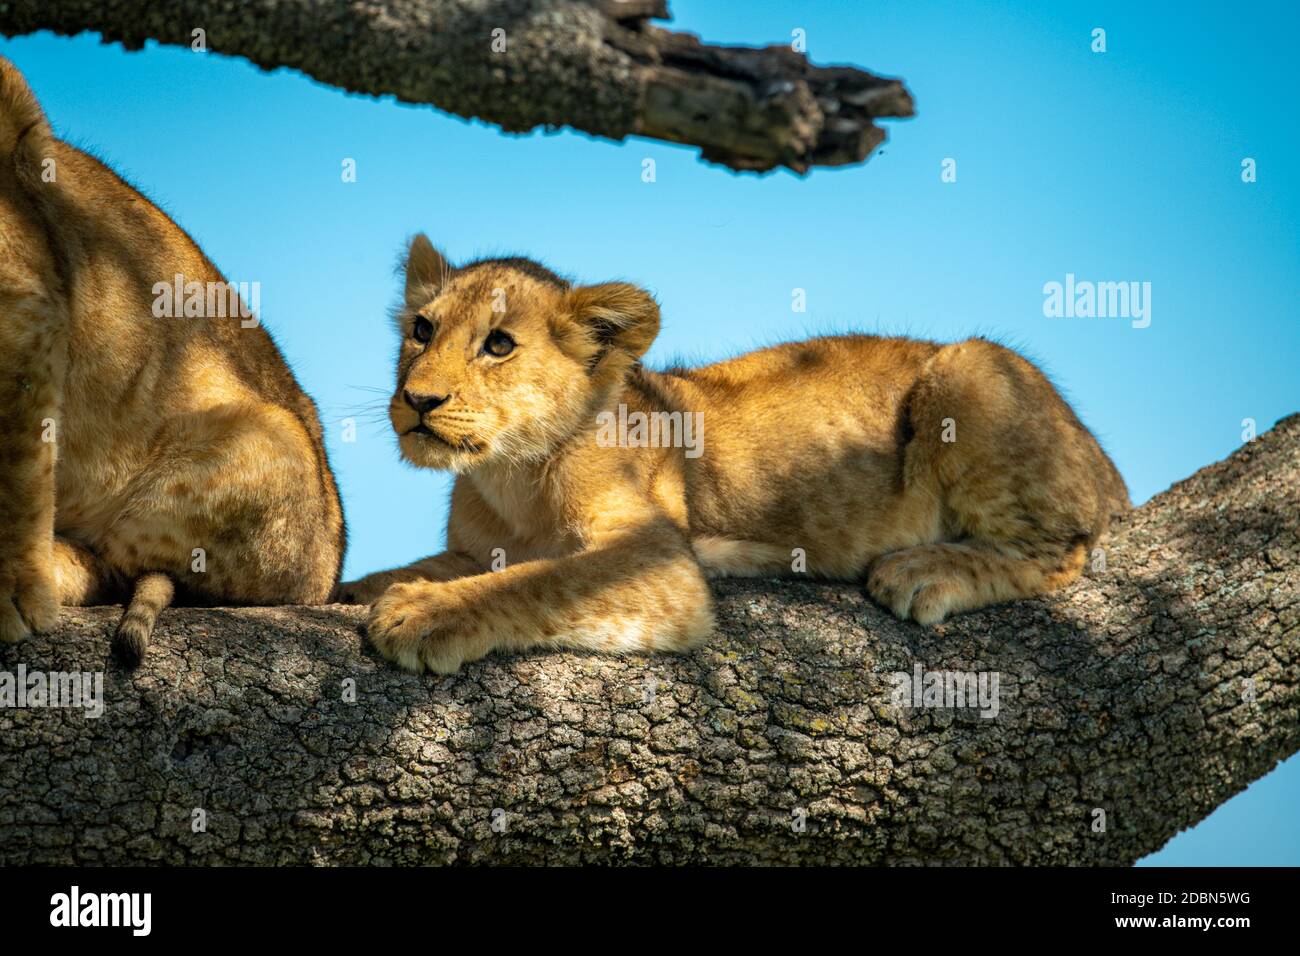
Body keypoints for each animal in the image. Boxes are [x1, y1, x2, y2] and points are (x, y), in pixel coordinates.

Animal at [0, 57, 344, 660]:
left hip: (262, 438)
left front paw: (11, 594)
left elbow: (15, 478)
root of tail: (325, 579)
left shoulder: (27, 311)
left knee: (120, 569)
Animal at [338, 234, 1130, 674]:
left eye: (498, 344)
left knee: (1064, 547)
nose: (417, 399)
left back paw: (925, 570)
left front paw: (422, 613)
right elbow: (427, 566)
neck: (508, 476)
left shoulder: (661, 560)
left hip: (969, 368)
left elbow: (535, 580)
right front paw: (362, 589)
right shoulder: (471, 547)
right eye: (421, 329)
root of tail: (1104, 461)